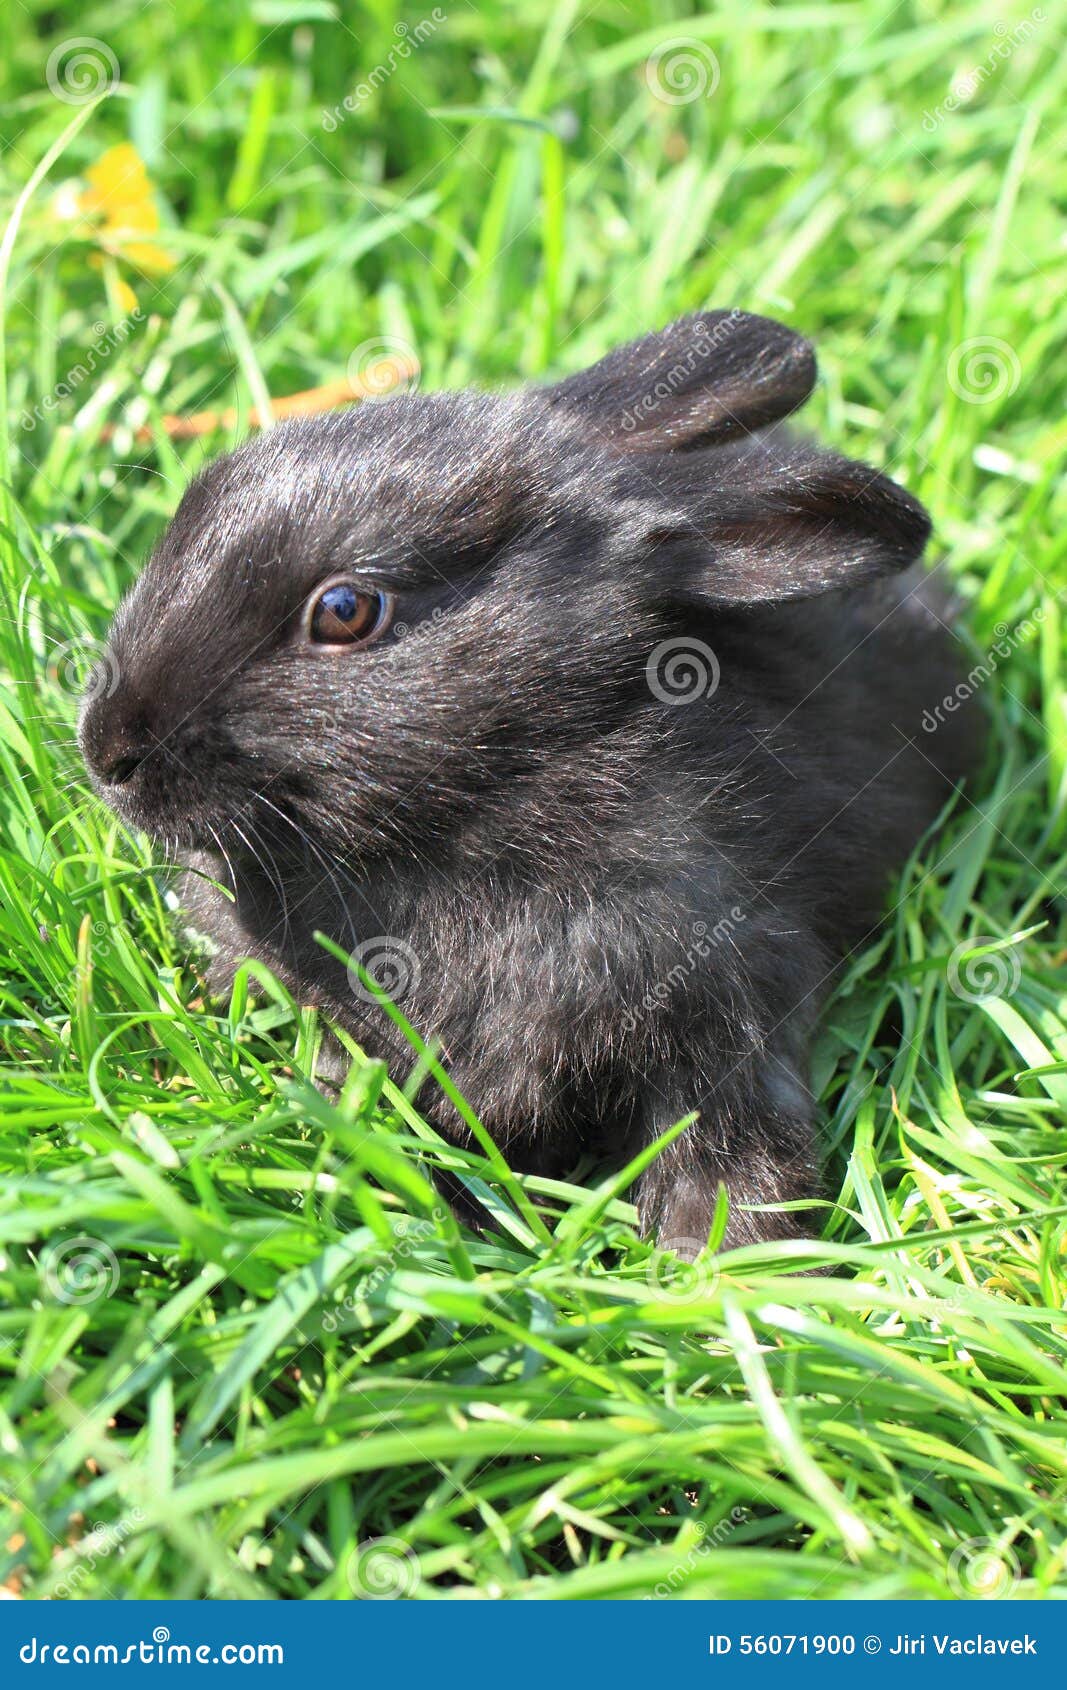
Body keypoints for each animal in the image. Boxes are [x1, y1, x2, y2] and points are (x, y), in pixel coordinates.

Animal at [79, 310, 980, 1252]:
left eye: (346, 611)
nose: (108, 750)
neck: (488, 796)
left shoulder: (730, 992)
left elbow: (733, 1148)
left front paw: (729, 1264)